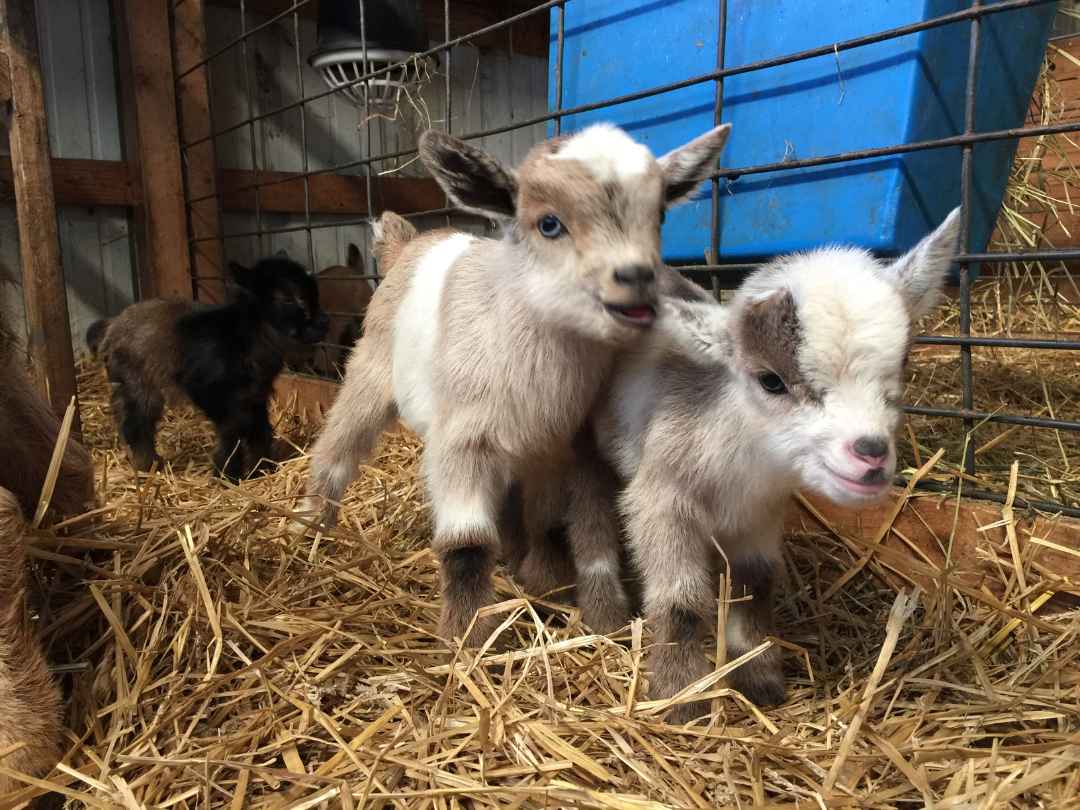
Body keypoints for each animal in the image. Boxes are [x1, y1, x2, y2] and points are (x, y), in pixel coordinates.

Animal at [88, 256, 329, 480]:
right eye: (289, 298)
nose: (324, 323)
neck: (247, 335)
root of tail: (111, 327)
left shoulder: (256, 394)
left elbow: (260, 429)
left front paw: (261, 469)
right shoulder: (207, 388)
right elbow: (232, 428)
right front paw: (227, 474)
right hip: (138, 382)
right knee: (137, 424)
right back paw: (148, 466)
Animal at [296, 122, 733, 643]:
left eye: (661, 214)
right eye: (549, 223)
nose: (637, 277)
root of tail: (410, 241)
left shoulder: (557, 445)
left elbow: (550, 523)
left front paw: (550, 588)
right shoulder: (462, 441)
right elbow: (466, 546)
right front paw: (465, 639)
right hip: (371, 364)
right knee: (337, 447)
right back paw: (308, 527)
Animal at [565, 209, 962, 721]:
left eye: (905, 362)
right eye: (770, 381)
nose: (870, 453)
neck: (745, 461)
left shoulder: (762, 516)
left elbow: (756, 588)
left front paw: (761, 678)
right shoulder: (662, 498)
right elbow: (680, 602)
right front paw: (682, 697)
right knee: (588, 504)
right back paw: (606, 613)